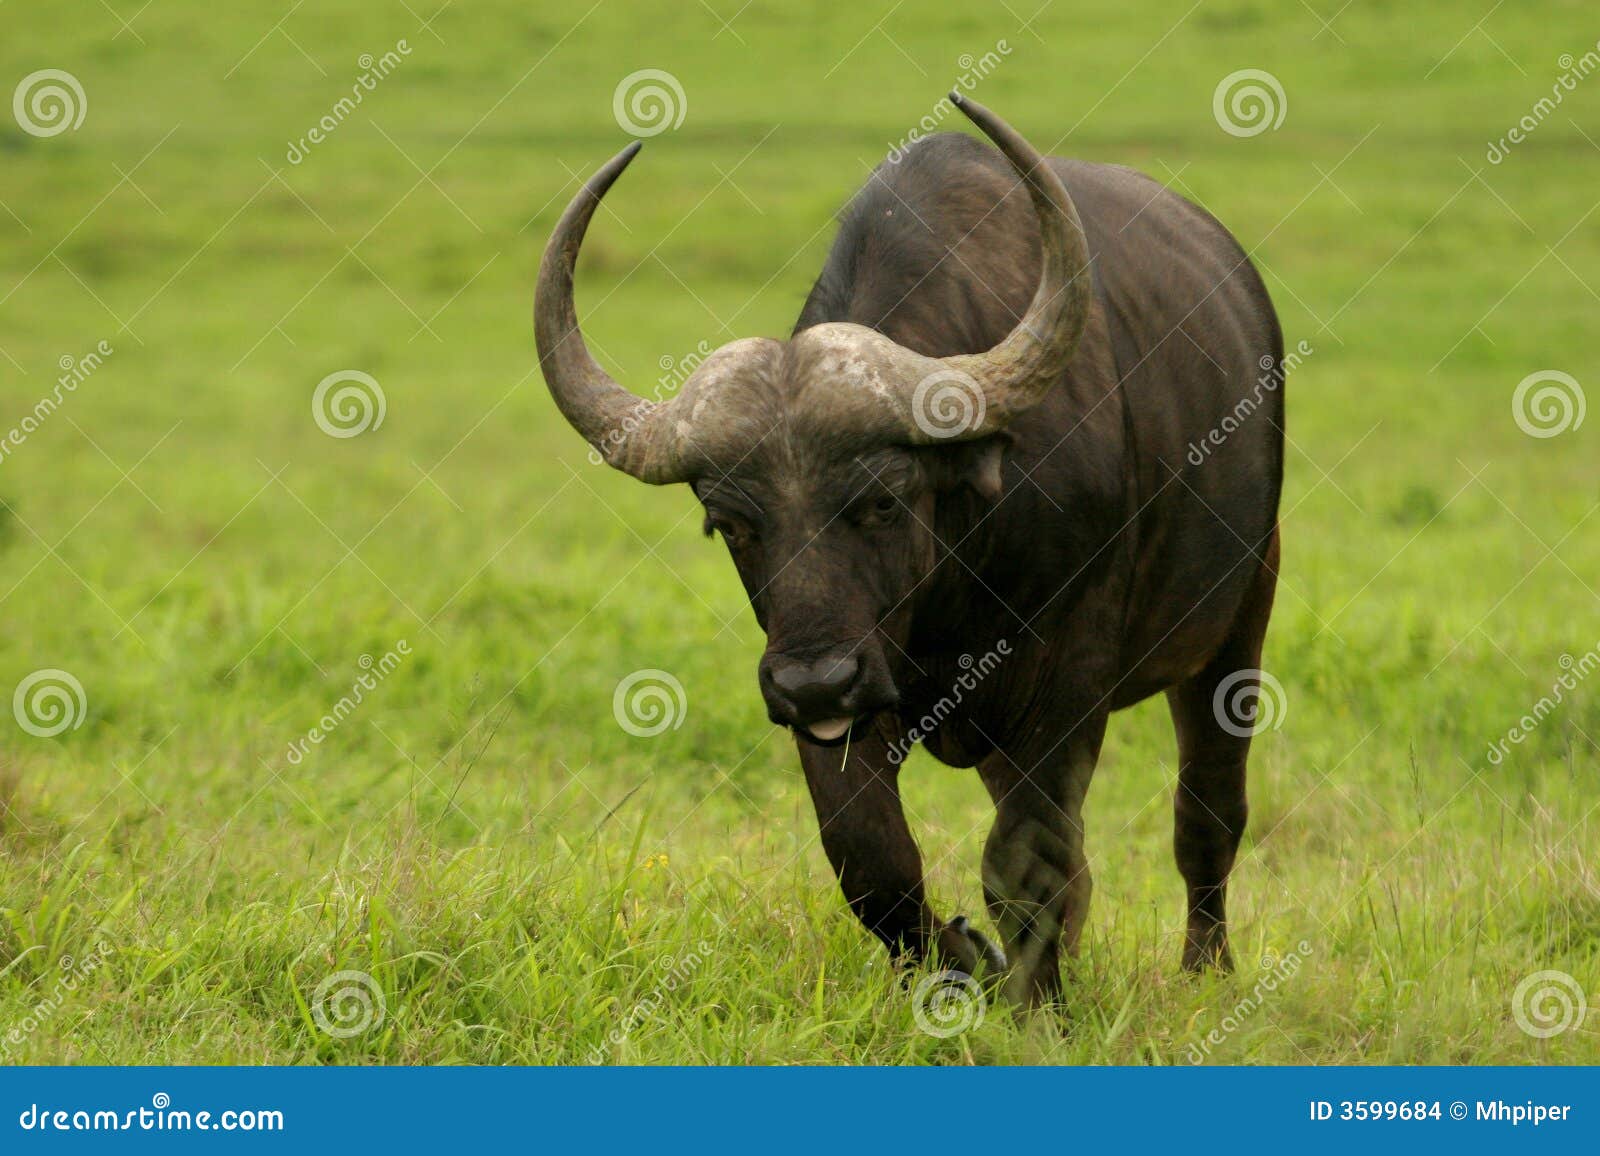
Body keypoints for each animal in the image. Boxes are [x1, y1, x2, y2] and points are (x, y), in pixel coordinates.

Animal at [536, 94, 1284, 1007]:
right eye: (731, 524)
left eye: (882, 501)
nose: (816, 681)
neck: (956, 567)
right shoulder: (842, 694)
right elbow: (870, 856)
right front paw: (963, 960)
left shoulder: (1067, 679)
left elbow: (1026, 860)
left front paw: (1037, 1007)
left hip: (1242, 613)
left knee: (1207, 811)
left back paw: (1206, 969)